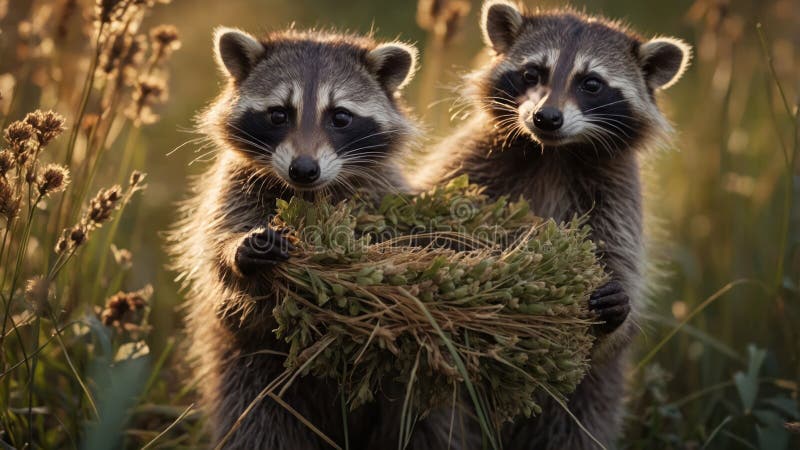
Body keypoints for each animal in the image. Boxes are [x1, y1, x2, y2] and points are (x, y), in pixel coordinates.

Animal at [170, 27, 462, 449]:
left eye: (340, 116)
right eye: (278, 114)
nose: (304, 170)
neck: (309, 195)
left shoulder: (381, 193)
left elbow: (400, 243)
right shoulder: (233, 187)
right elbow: (215, 254)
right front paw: (238, 251)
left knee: (428, 421)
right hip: (248, 371)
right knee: (258, 426)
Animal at [414, 1, 691, 448]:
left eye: (591, 83)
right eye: (532, 73)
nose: (546, 117)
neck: (553, 153)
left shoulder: (616, 193)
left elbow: (620, 255)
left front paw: (616, 306)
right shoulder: (473, 161)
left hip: (594, 389)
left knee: (576, 426)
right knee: (437, 421)